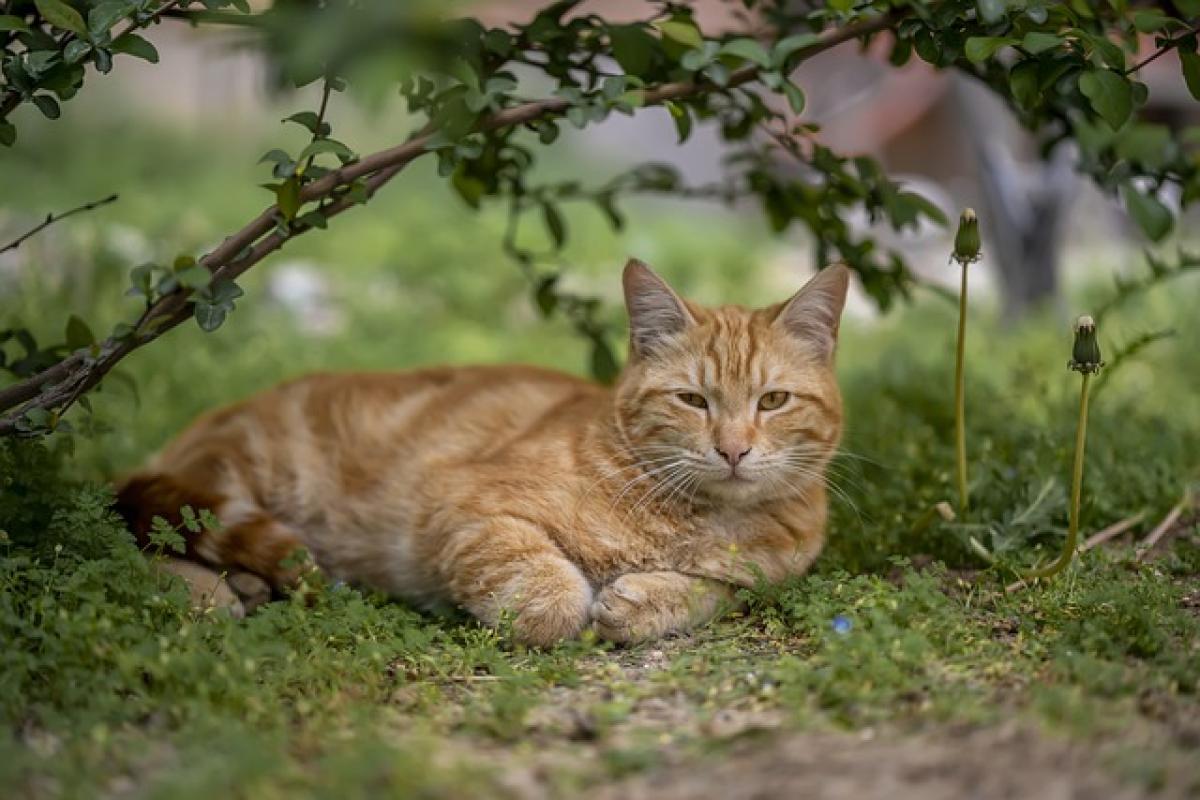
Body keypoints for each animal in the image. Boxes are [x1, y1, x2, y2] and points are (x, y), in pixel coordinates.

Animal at [117, 260, 849, 647]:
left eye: (773, 401)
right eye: (693, 400)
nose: (733, 450)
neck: (696, 518)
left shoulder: (761, 577)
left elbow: (713, 592)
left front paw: (643, 598)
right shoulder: (464, 504)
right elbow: (543, 583)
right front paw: (571, 605)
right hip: (241, 477)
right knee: (142, 534)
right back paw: (212, 593)